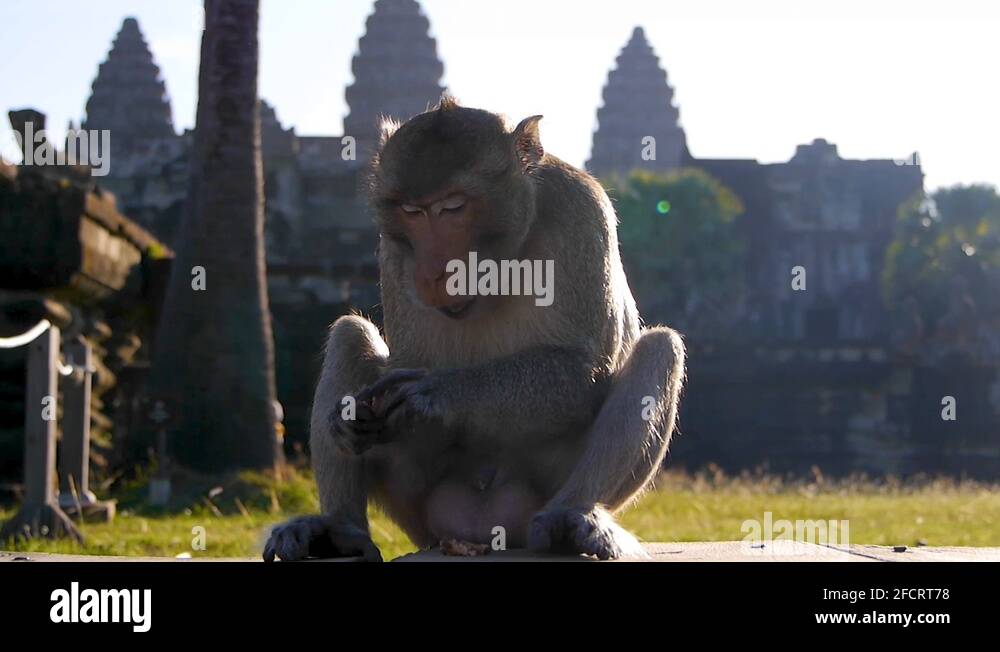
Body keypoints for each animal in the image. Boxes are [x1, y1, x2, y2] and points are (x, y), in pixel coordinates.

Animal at [263, 96, 685, 562]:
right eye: (412, 212)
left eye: (453, 206)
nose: (432, 273)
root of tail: (484, 528)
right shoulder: (393, 249)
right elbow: (399, 366)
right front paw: (352, 413)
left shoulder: (580, 209)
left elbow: (585, 367)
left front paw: (436, 394)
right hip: (417, 506)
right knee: (349, 334)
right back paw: (339, 529)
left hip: (541, 491)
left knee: (660, 348)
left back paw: (572, 518)